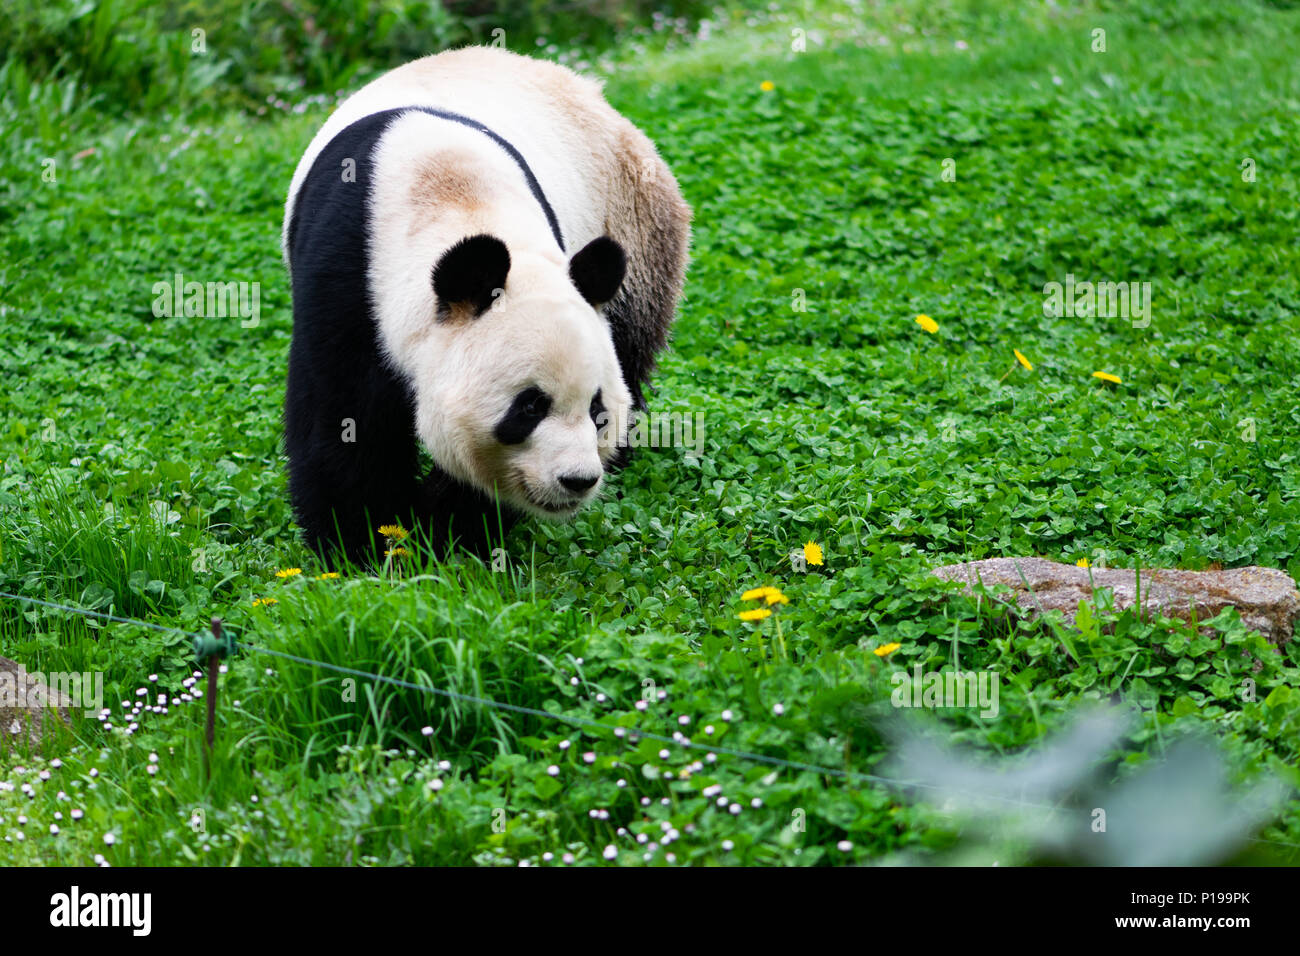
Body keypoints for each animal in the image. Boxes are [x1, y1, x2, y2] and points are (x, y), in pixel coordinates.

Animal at [282, 46, 691, 566]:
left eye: (597, 409)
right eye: (530, 406)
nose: (577, 480)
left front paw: (448, 534)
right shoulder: (346, 277)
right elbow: (344, 425)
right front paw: (360, 547)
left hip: (631, 217)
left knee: (632, 341)